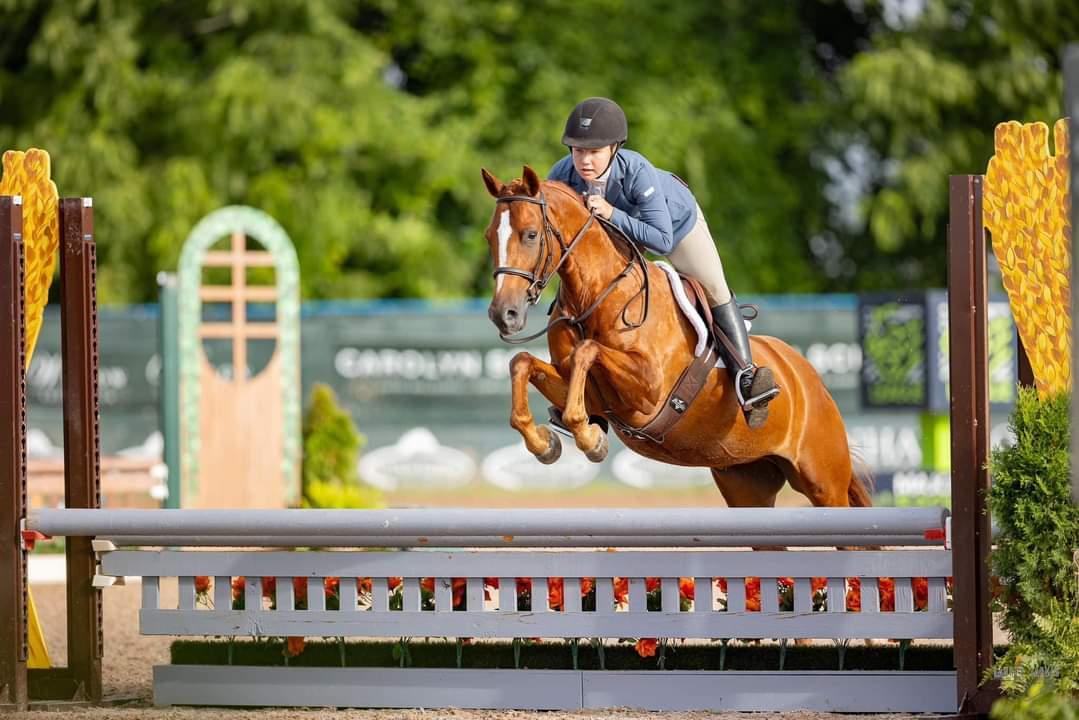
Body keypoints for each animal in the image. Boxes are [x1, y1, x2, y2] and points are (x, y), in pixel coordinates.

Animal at [480, 166, 872, 509]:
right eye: (489, 237)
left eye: (531, 234)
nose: (504, 314)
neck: (597, 295)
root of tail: (808, 378)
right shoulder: (588, 390)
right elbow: (522, 363)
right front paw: (544, 443)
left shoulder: (648, 391)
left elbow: (586, 351)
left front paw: (590, 440)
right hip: (747, 483)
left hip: (824, 482)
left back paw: (755, 384)